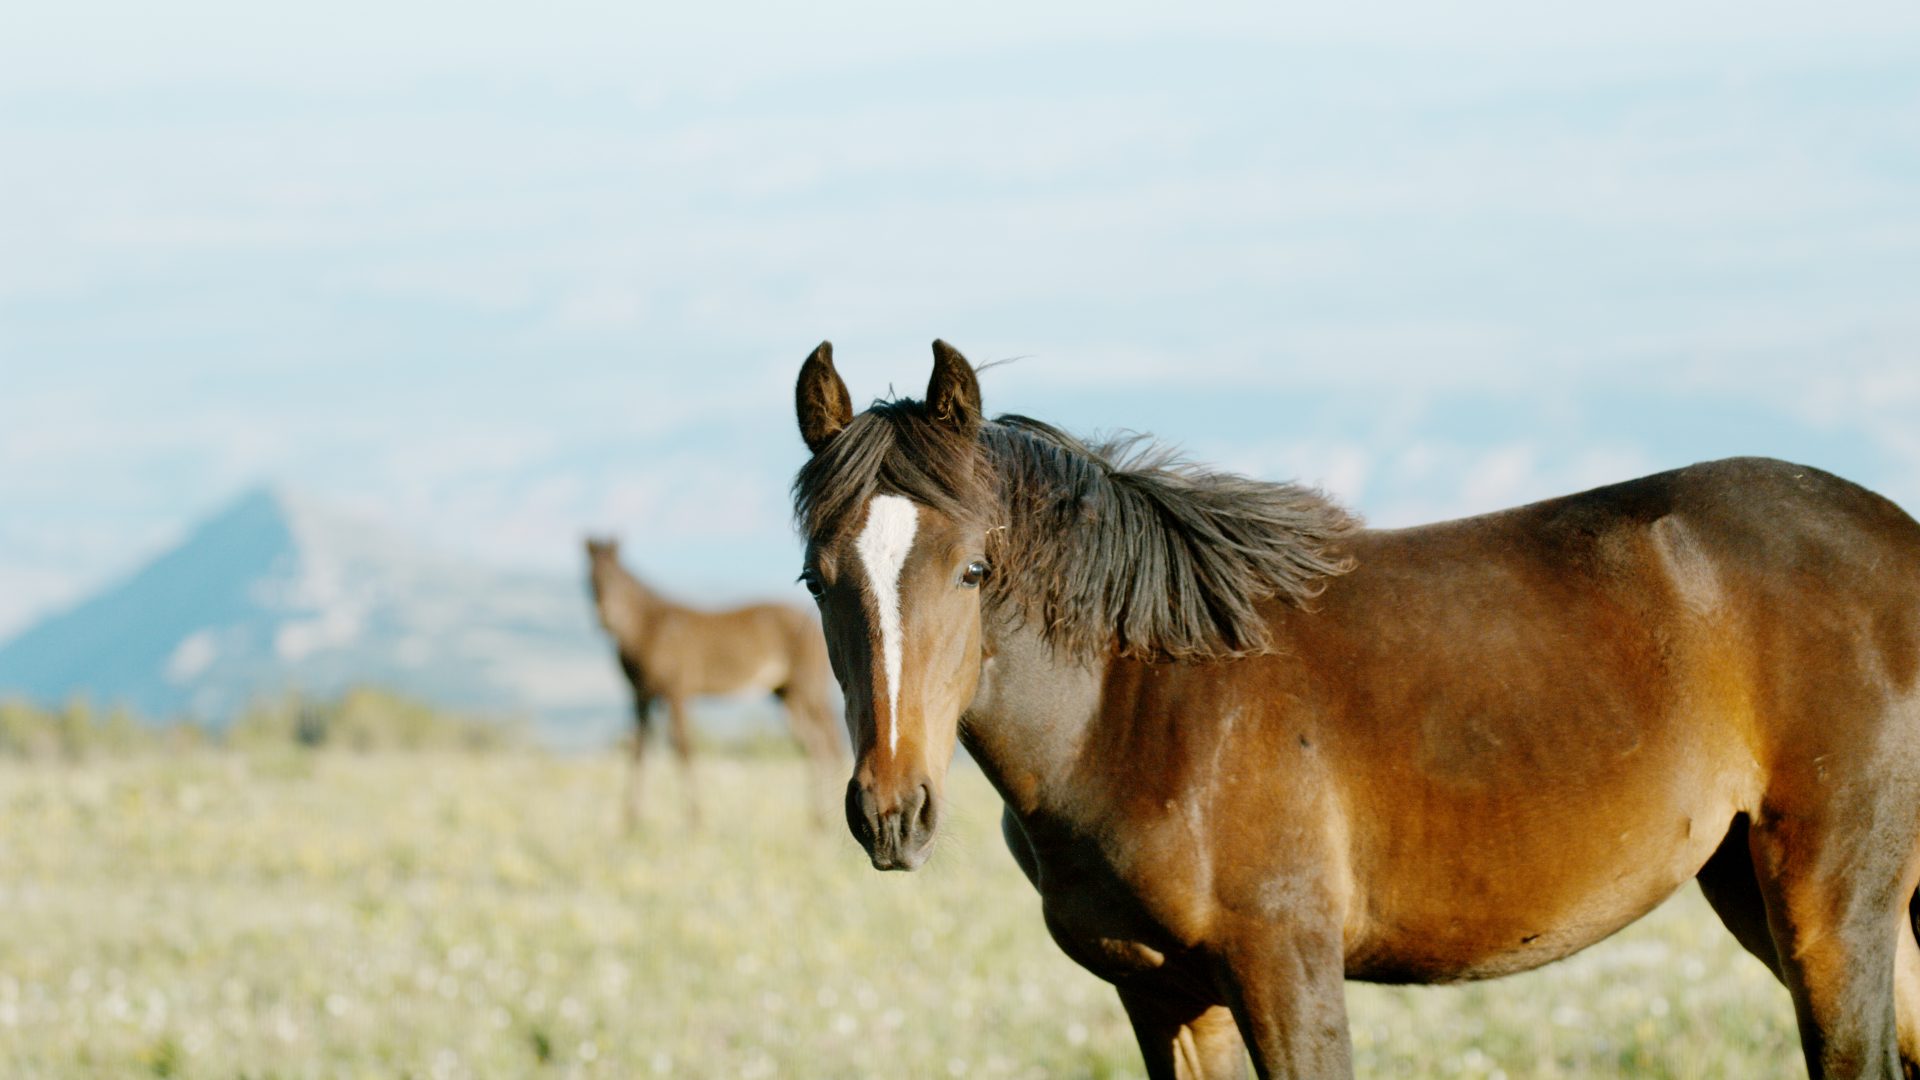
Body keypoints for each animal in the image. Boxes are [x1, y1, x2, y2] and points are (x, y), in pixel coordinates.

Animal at [583, 537, 844, 831]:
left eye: (615, 577)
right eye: (590, 579)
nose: (605, 617)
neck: (646, 630)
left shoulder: (677, 691)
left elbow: (682, 746)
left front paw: (694, 818)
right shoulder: (640, 695)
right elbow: (639, 748)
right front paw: (631, 819)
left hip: (809, 687)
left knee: (831, 740)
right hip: (785, 693)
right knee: (811, 743)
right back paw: (817, 819)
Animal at [788, 340, 1920, 1079]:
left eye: (975, 569)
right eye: (815, 578)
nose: (891, 812)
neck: (1139, 703)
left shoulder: (1287, 969)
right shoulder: (1164, 996)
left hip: (1830, 905)